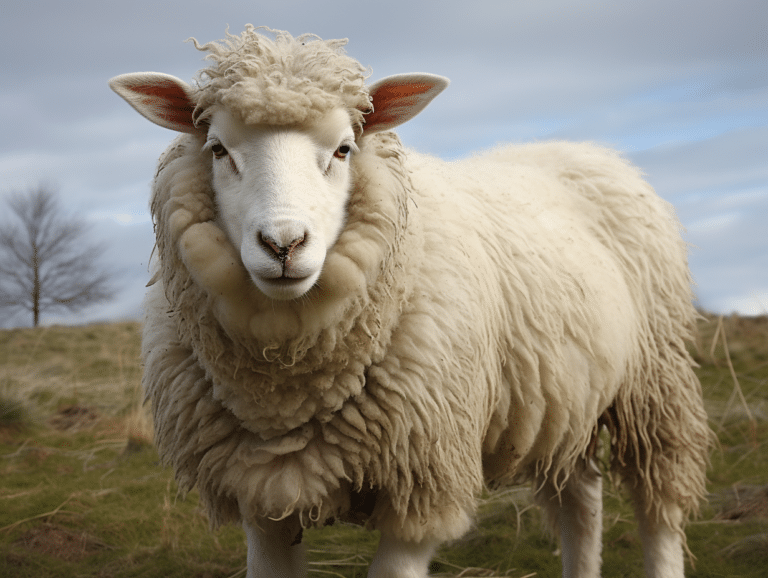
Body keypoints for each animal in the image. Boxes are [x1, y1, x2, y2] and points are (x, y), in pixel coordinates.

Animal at [109, 25, 710, 578]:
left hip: (655, 382)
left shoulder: (424, 483)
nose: (283, 245)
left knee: (659, 504)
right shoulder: (263, 495)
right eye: (218, 149)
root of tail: (585, 148)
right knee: (579, 498)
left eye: (344, 148)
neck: (285, 388)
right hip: (563, 398)